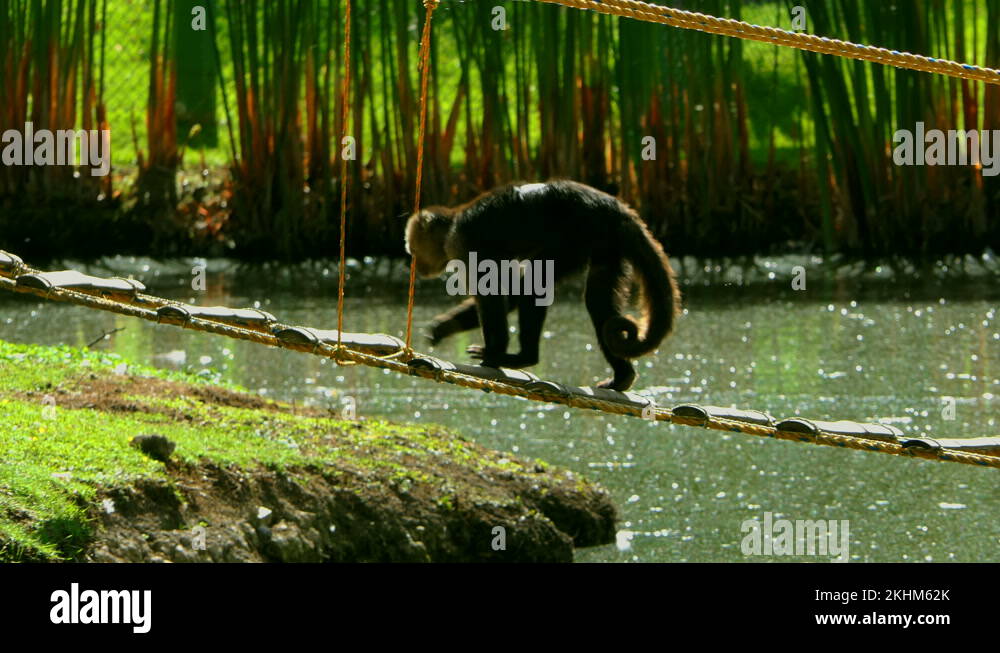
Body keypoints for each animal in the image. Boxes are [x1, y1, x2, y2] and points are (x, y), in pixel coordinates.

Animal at [404, 180, 681, 391]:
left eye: (414, 251)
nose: (416, 266)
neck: (453, 223)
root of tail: (615, 207)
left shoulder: (461, 242)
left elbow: (495, 293)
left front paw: (494, 351)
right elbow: (509, 295)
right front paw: (445, 327)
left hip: (576, 234)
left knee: (536, 284)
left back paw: (523, 357)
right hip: (605, 240)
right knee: (596, 299)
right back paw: (622, 377)